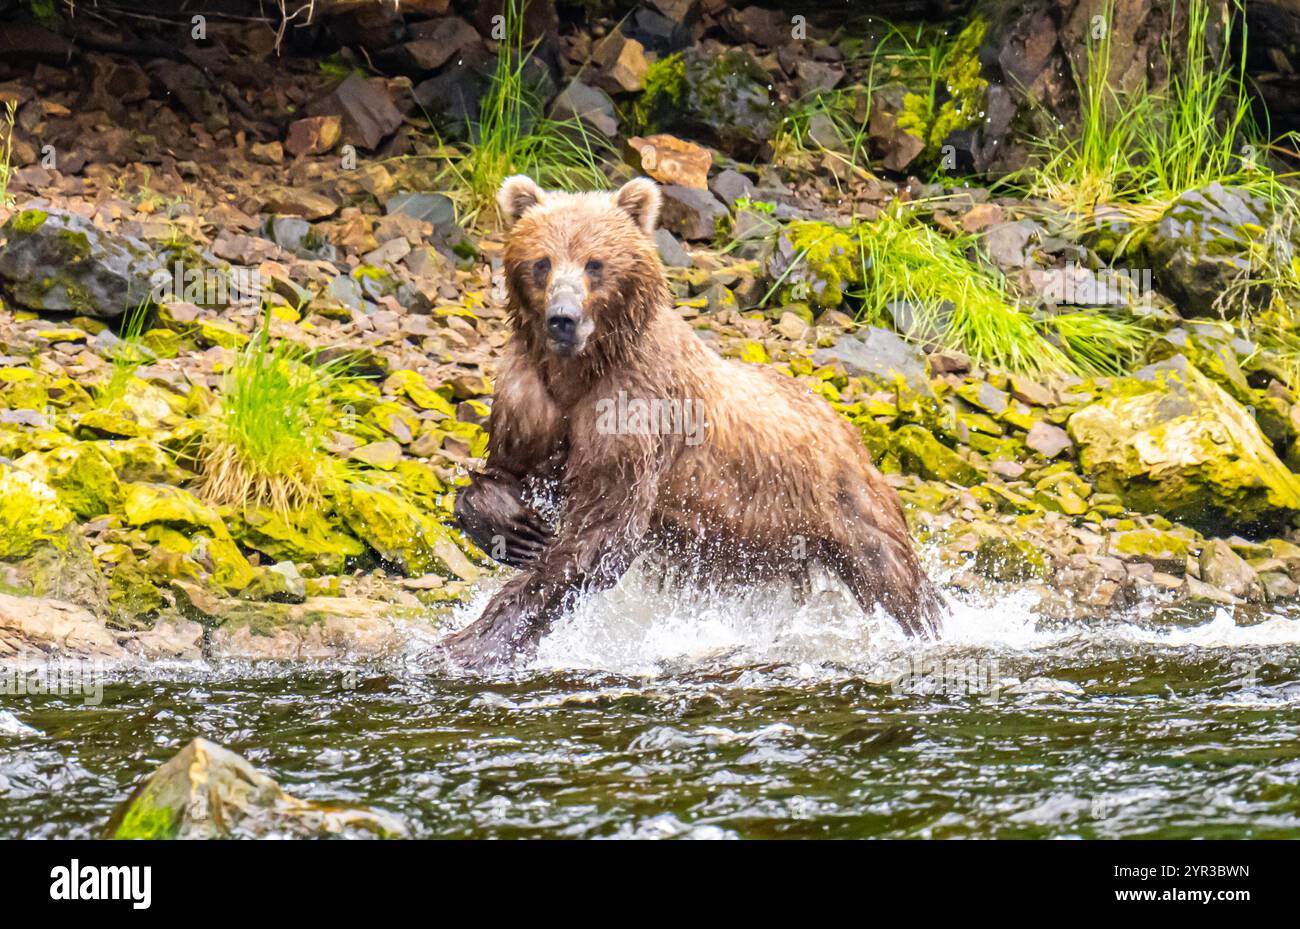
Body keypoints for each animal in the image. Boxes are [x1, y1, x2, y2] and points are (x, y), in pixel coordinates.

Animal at [441, 175, 942, 669]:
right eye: (542, 262)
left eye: (594, 263)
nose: (562, 318)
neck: (581, 370)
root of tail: (845, 423)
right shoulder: (528, 399)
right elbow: (504, 472)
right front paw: (514, 529)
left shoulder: (634, 410)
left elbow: (602, 530)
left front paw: (475, 641)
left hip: (841, 500)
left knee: (891, 573)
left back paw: (927, 626)